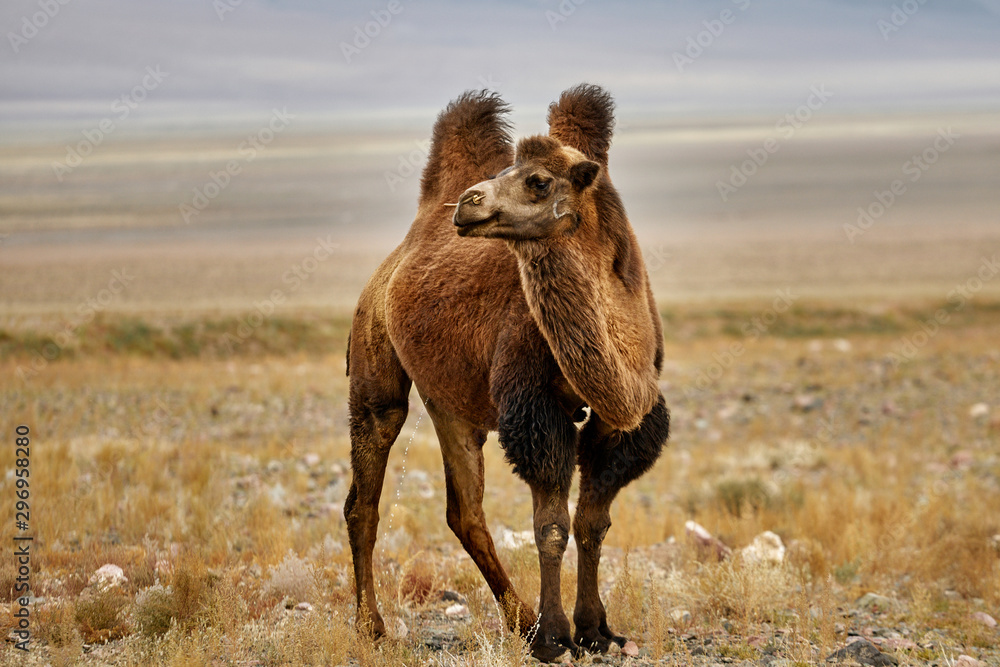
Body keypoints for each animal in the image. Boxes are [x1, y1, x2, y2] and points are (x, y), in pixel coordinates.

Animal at [344, 84, 670, 661]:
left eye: (538, 181)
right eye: (506, 171)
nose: (468, 202)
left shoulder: (620, 421)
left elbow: (593, 522)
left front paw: (595, 630)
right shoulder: (536, 409)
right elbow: (551, 527)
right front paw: (556, 636)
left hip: (450, 402)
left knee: (464, 512)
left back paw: (518, 619)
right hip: (374, 362)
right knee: (366, 497)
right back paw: (374, 628)